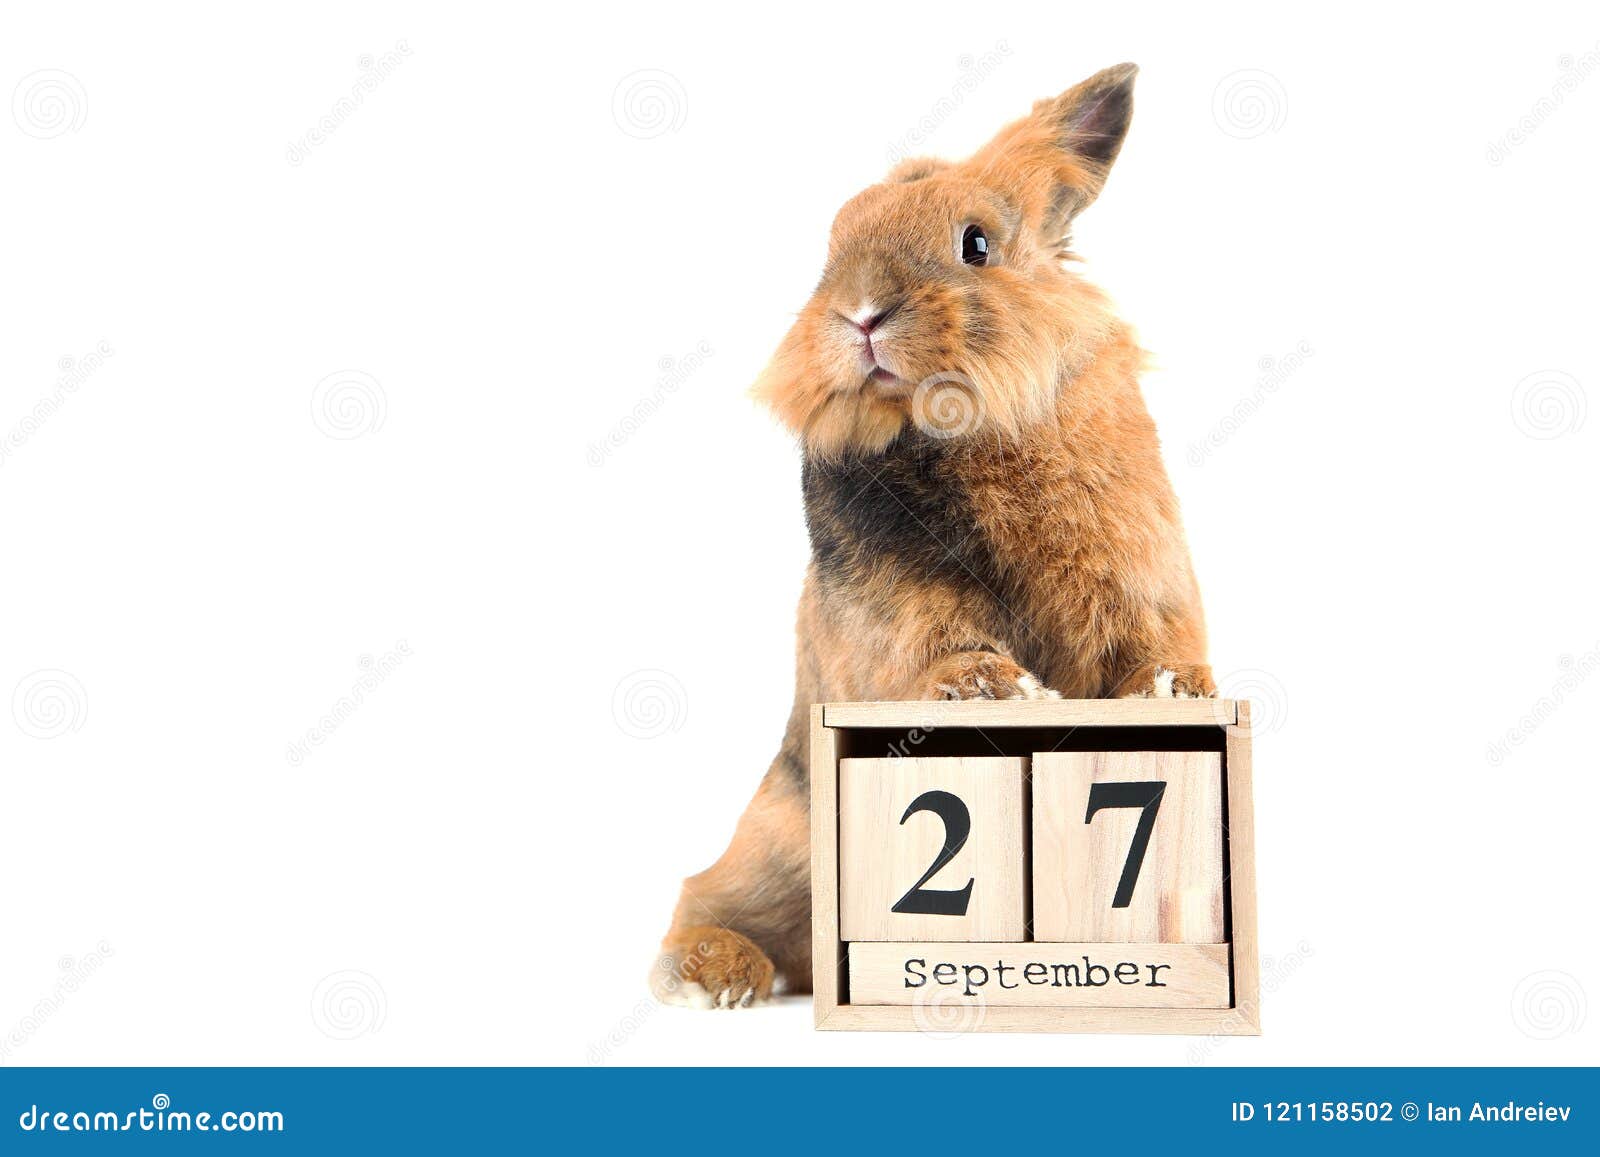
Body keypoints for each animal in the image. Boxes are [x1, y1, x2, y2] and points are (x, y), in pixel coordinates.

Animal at [652, 63, 1213, 1010]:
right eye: (832, 247)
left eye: (976, 243)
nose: (860, 313)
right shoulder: (899, 592)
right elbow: (938, 640)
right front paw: (995, 690)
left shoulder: (1138, 567)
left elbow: (1152, 636)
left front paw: (1173, 690)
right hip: (777, 840)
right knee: (708, 897)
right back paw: (715, 974)